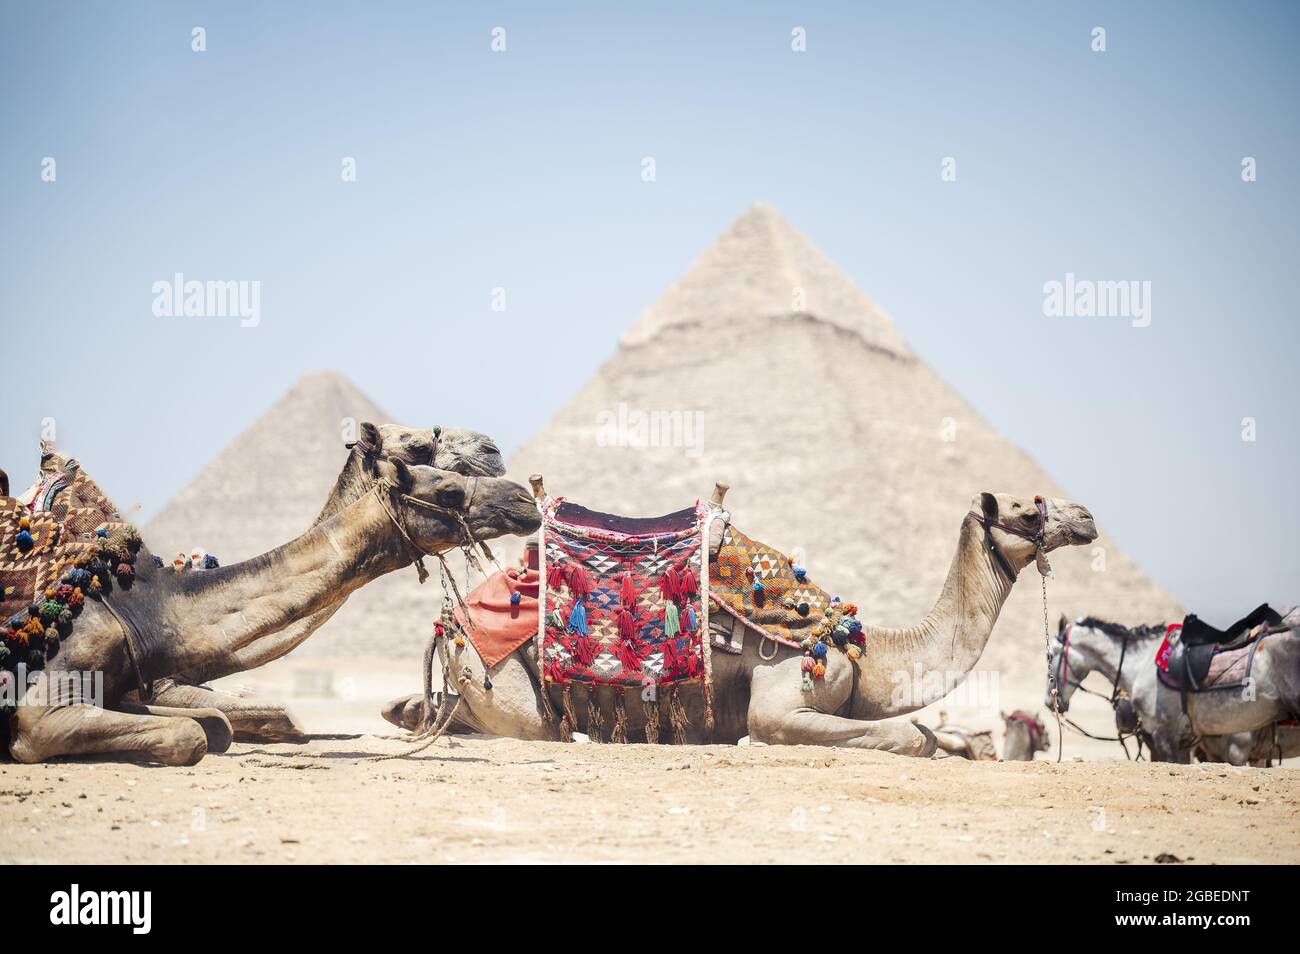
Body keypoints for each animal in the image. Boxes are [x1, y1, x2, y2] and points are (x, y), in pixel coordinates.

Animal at [6, 456, 538, 764]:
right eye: (447, 488)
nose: (525, 498)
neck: (142, 610)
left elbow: (217, 726)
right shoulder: (45, 707)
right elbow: (190, 735)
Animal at [385, 488, 1097, 756]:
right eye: (1025, 509)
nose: (1086, 516)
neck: (860, 646)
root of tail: (448, 620)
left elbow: (925, 731)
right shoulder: (782, 698)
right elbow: (904, 736)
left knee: (439, 711)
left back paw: (406, 711)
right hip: (499, 670)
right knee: (516, 726)